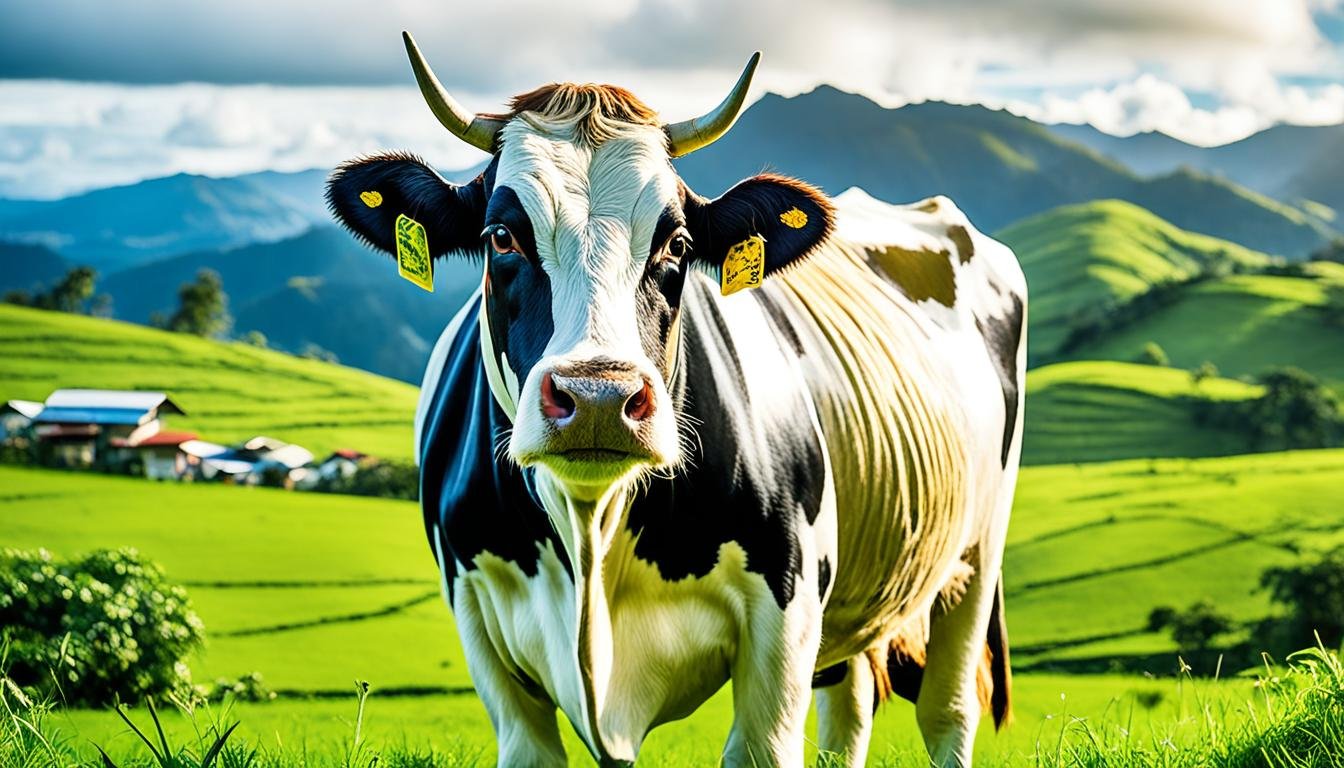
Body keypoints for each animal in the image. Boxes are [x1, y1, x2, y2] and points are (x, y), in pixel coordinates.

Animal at [326, 32, 1026, 768]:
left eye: (678, 243)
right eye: (501, 237)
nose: (597, 395)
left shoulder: (786, 615)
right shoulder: (480, 627)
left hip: (977, 555)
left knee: (947, 710)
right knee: (851, 708)